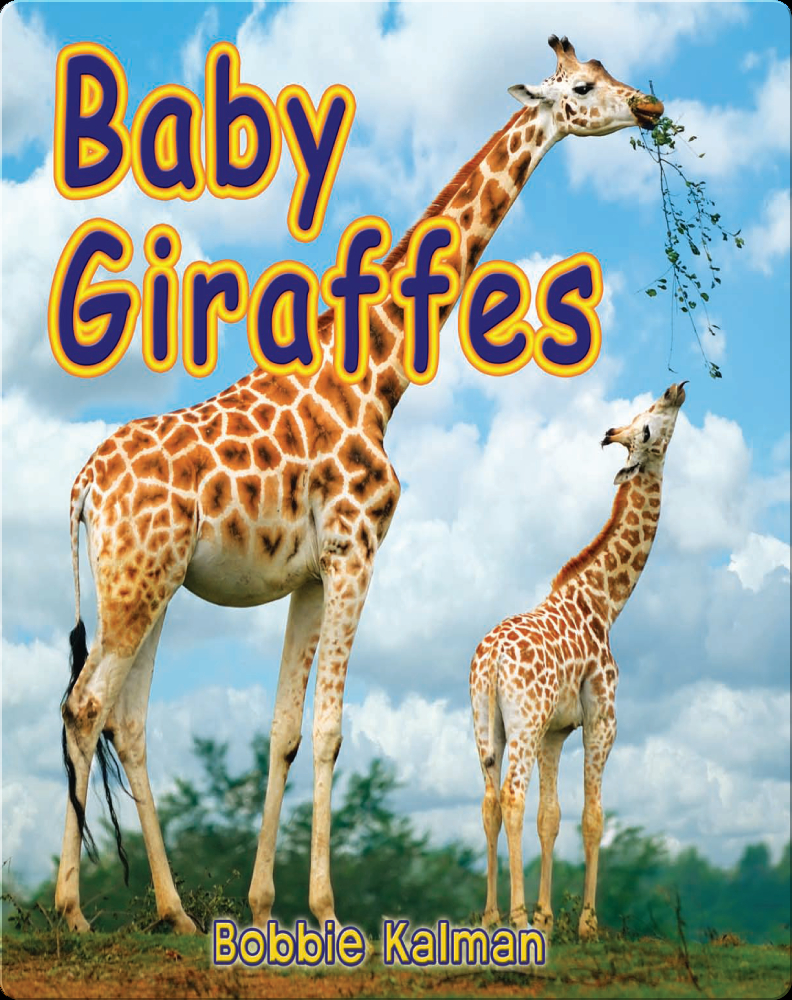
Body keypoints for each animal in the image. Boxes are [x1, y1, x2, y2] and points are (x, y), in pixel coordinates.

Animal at [54, 35, 664, 935]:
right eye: (584, 87)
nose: (651, 108)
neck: (376, 377)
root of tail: (83, 486)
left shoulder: (312, 573)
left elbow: (284, 731)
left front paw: (264, 907)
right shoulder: (356, 550)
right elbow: (333, 730)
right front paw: (326, 912)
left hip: (144, 582)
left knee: (120, 718)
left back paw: (171, 912)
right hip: (137, 581)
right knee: (87, 705)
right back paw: (74, 911)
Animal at [469, 382, 687, 940]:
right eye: (648, 425)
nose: (675, 389)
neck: (605, 603)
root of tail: (492, 660)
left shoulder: (555, 731)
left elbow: (552, 815)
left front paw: (549, 917)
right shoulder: (601, 719)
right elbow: (593, 817)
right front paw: (586, 923)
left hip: (486, 725)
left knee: (490, 802)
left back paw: (491, 916)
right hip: (521, 723)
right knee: (512, 797)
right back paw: (516, 918)